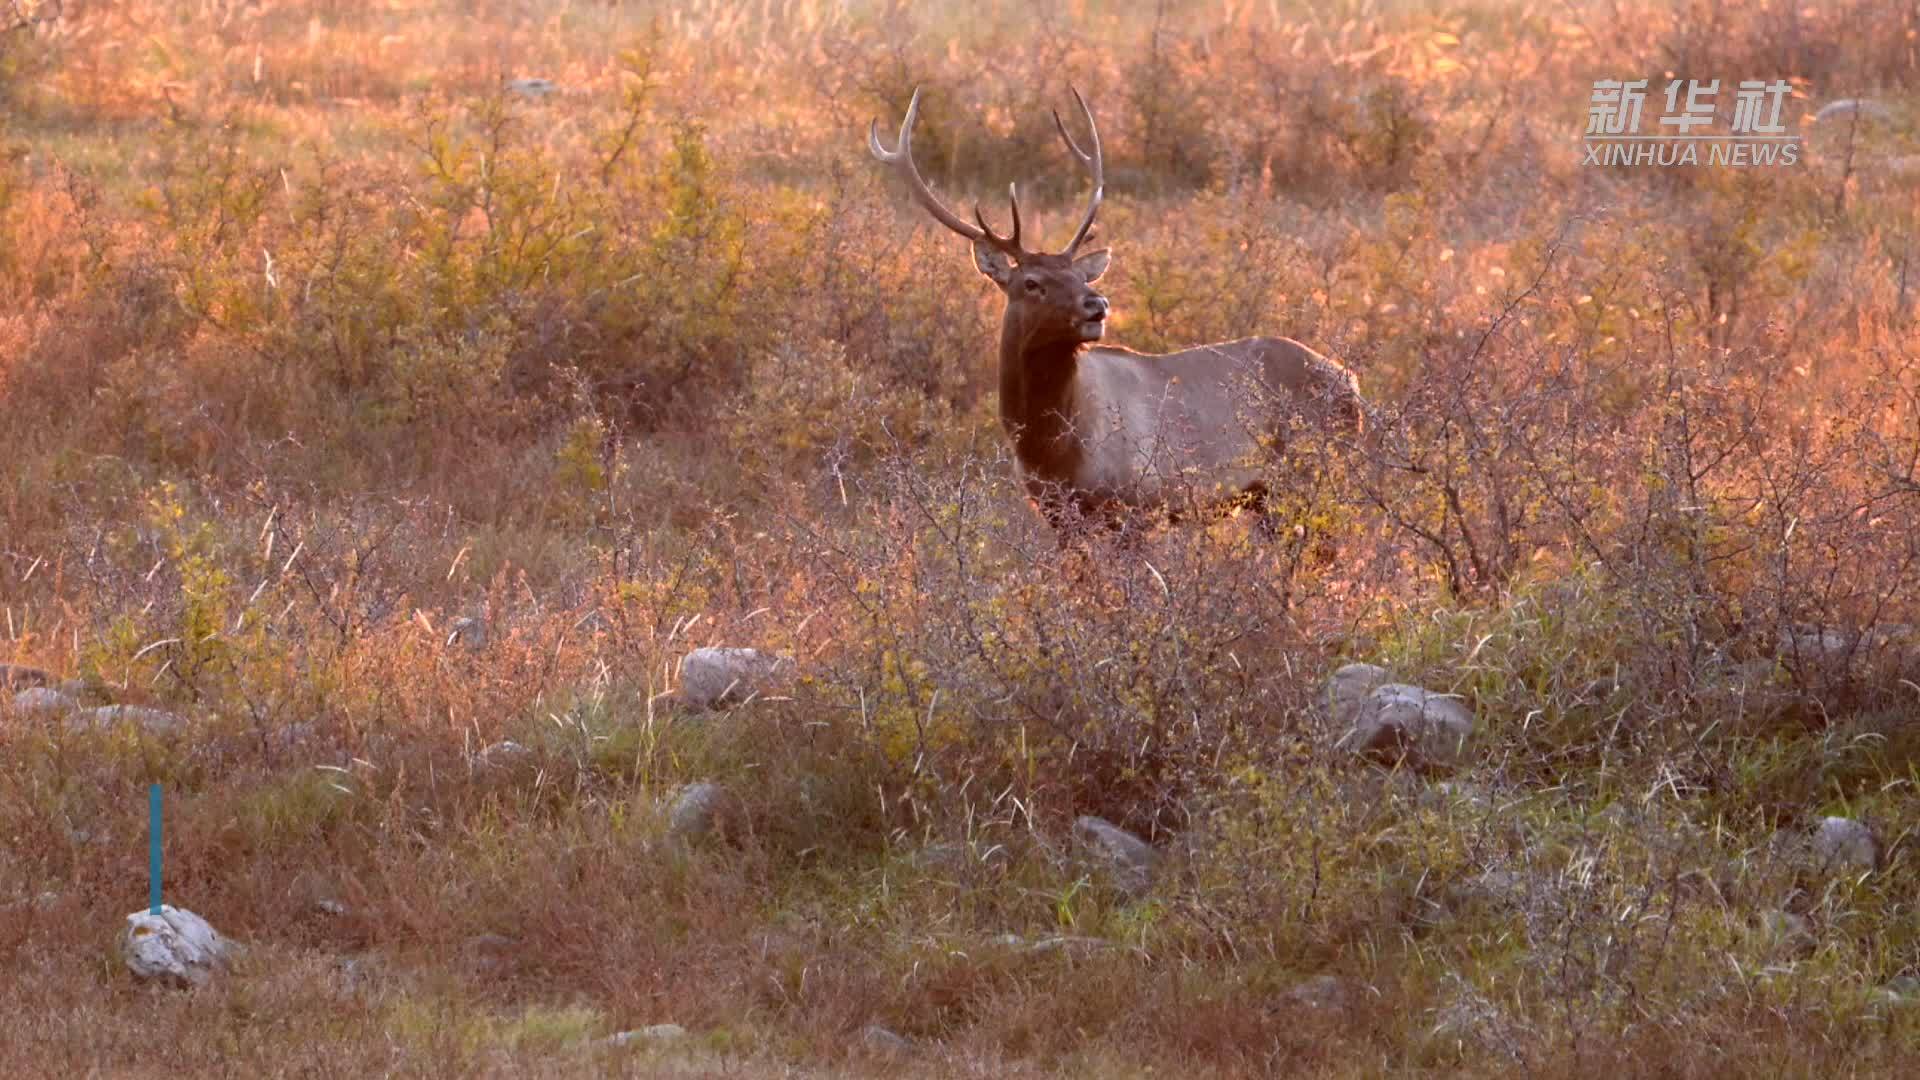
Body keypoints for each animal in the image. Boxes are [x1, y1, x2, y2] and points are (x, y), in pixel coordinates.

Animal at [869, 88, 1364, 539]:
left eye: (1079, 275)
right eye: (1031, 283)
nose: (1097, 305)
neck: (1052, 449)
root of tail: (1352, 381)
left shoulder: (1136, 502)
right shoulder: (1057, 515)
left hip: (1313, 475)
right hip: (1270, 496)